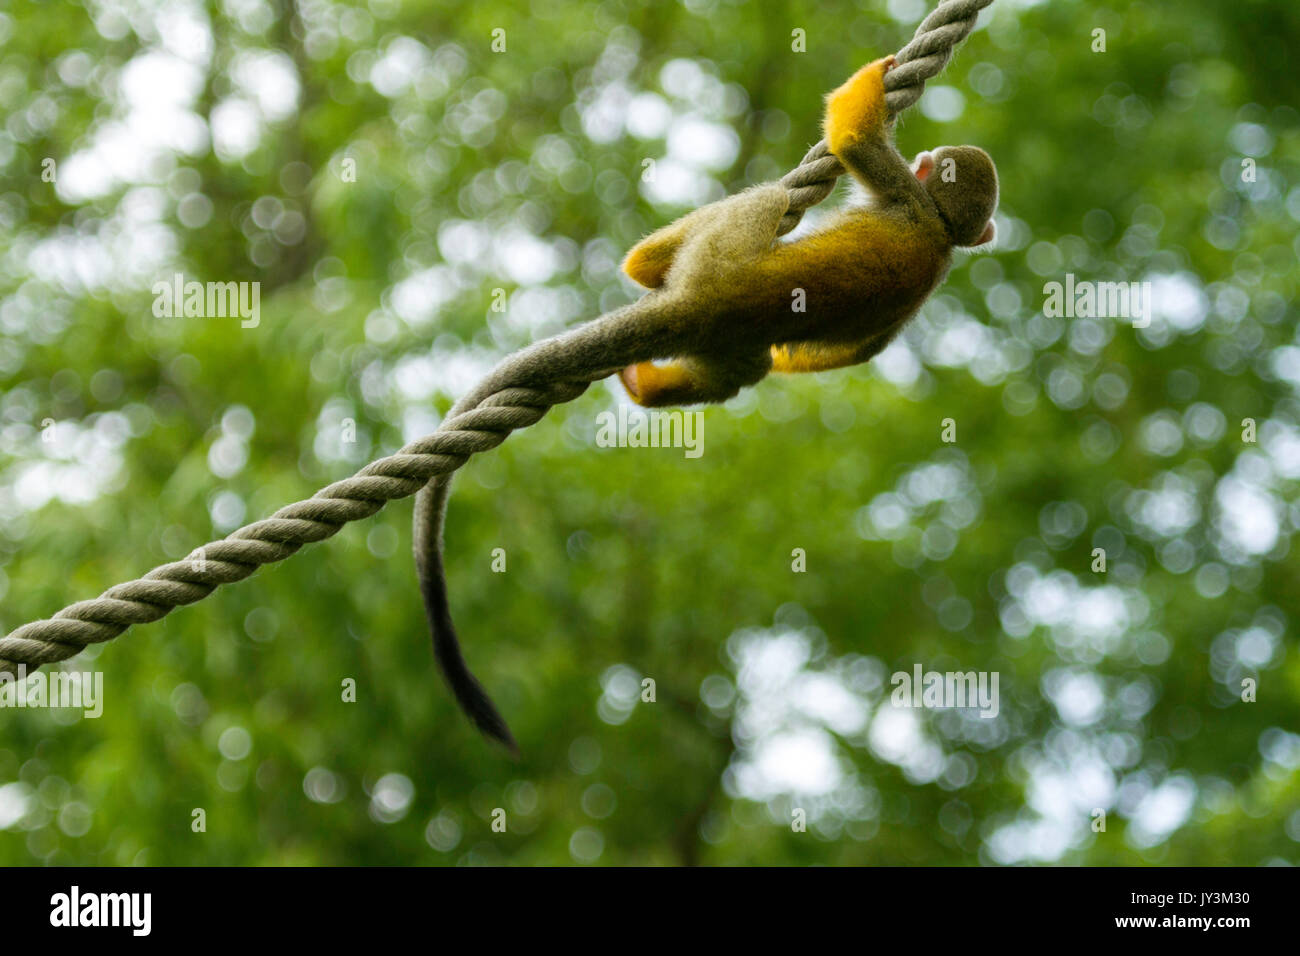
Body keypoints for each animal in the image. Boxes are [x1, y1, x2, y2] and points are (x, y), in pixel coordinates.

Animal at [415, 55, 998, 750]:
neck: (941, 232)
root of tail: (702, 305)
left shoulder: (905, 199)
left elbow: (856, 143)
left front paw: (870, 80)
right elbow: (863, 350)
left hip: (717, 254)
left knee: (766, 201)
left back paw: (645, 267)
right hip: (727, 345)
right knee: (739, 371)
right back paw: (653, 381)